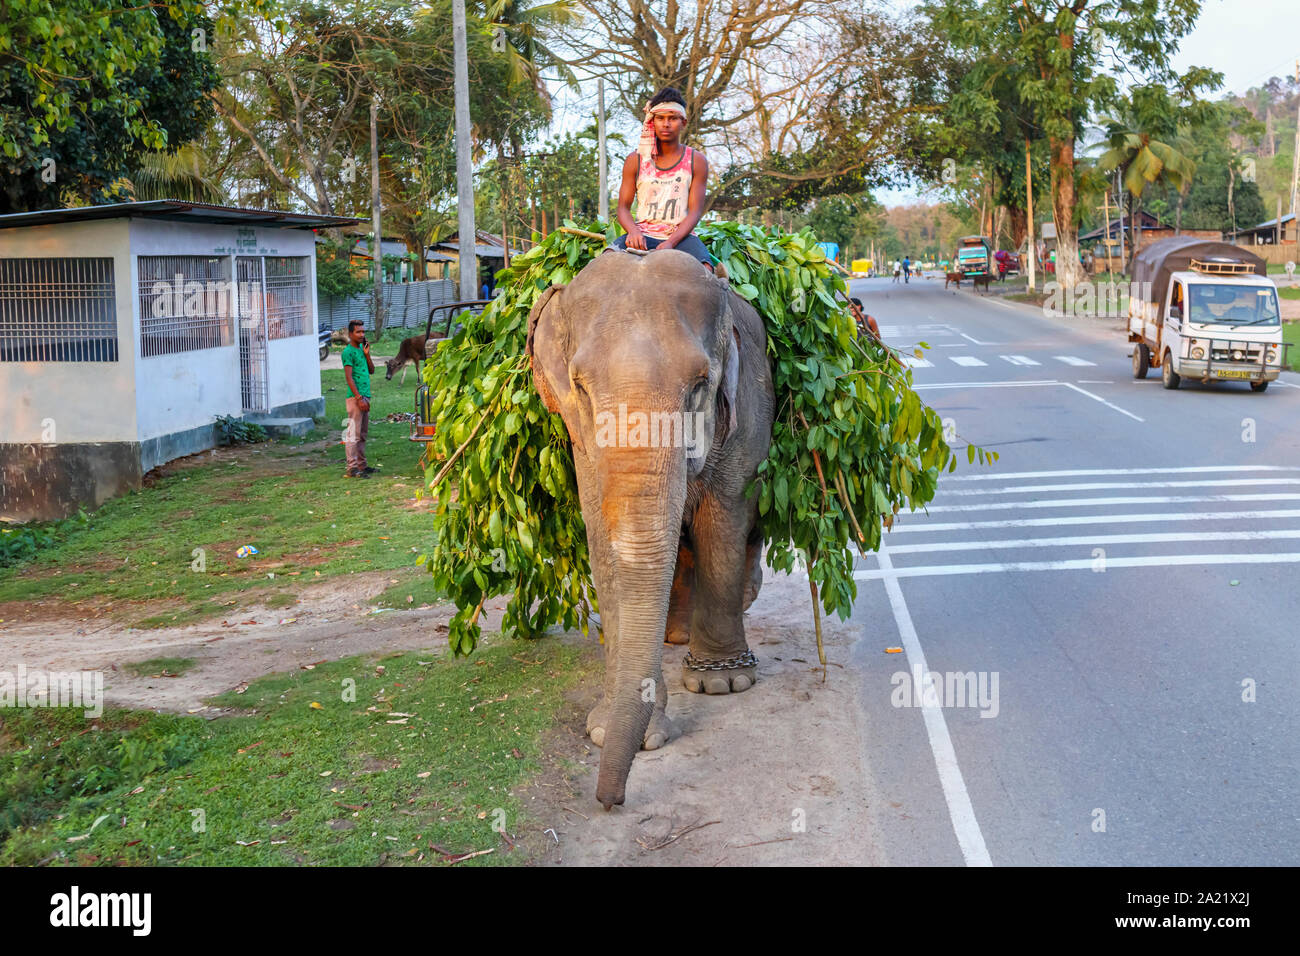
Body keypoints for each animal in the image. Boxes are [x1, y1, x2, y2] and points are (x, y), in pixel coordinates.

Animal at [526, 247, 776, 809]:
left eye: (700, 384)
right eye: (579, 387)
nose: (608, 801)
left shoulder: (746, 411)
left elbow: (724, 517)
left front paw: (723, 685)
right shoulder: (581, 440)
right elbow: (603, 537)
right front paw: (609, 729)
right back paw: (672, 633)